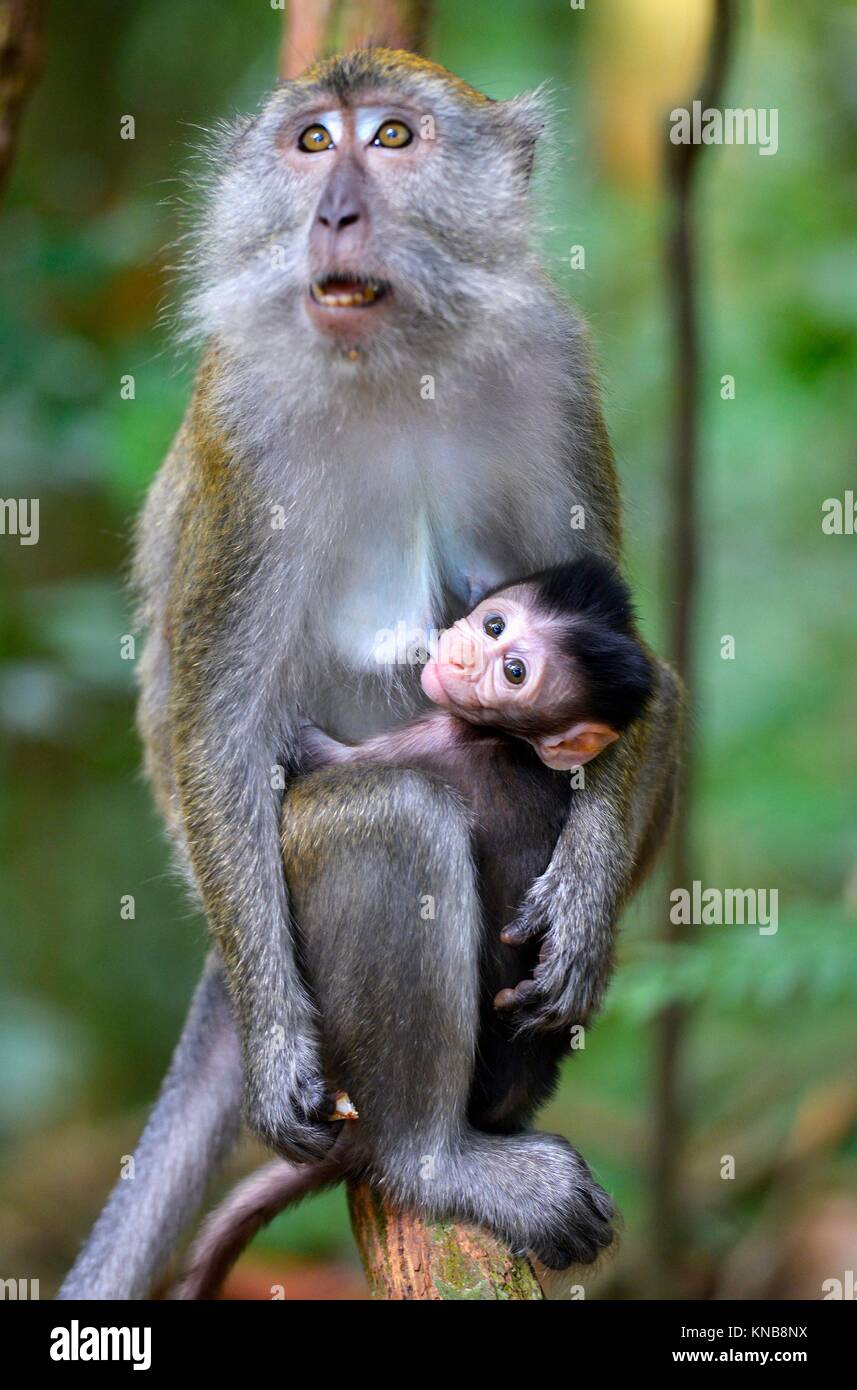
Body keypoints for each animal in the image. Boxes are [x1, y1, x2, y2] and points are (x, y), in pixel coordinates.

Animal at [177, 556, 656, 1296]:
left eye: (513, 671)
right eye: (496, 624)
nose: (461, 651)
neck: (507, 742)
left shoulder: (440, 737)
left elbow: (326, 762)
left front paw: (289, 733)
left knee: (402, 810)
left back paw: (431, 1162)